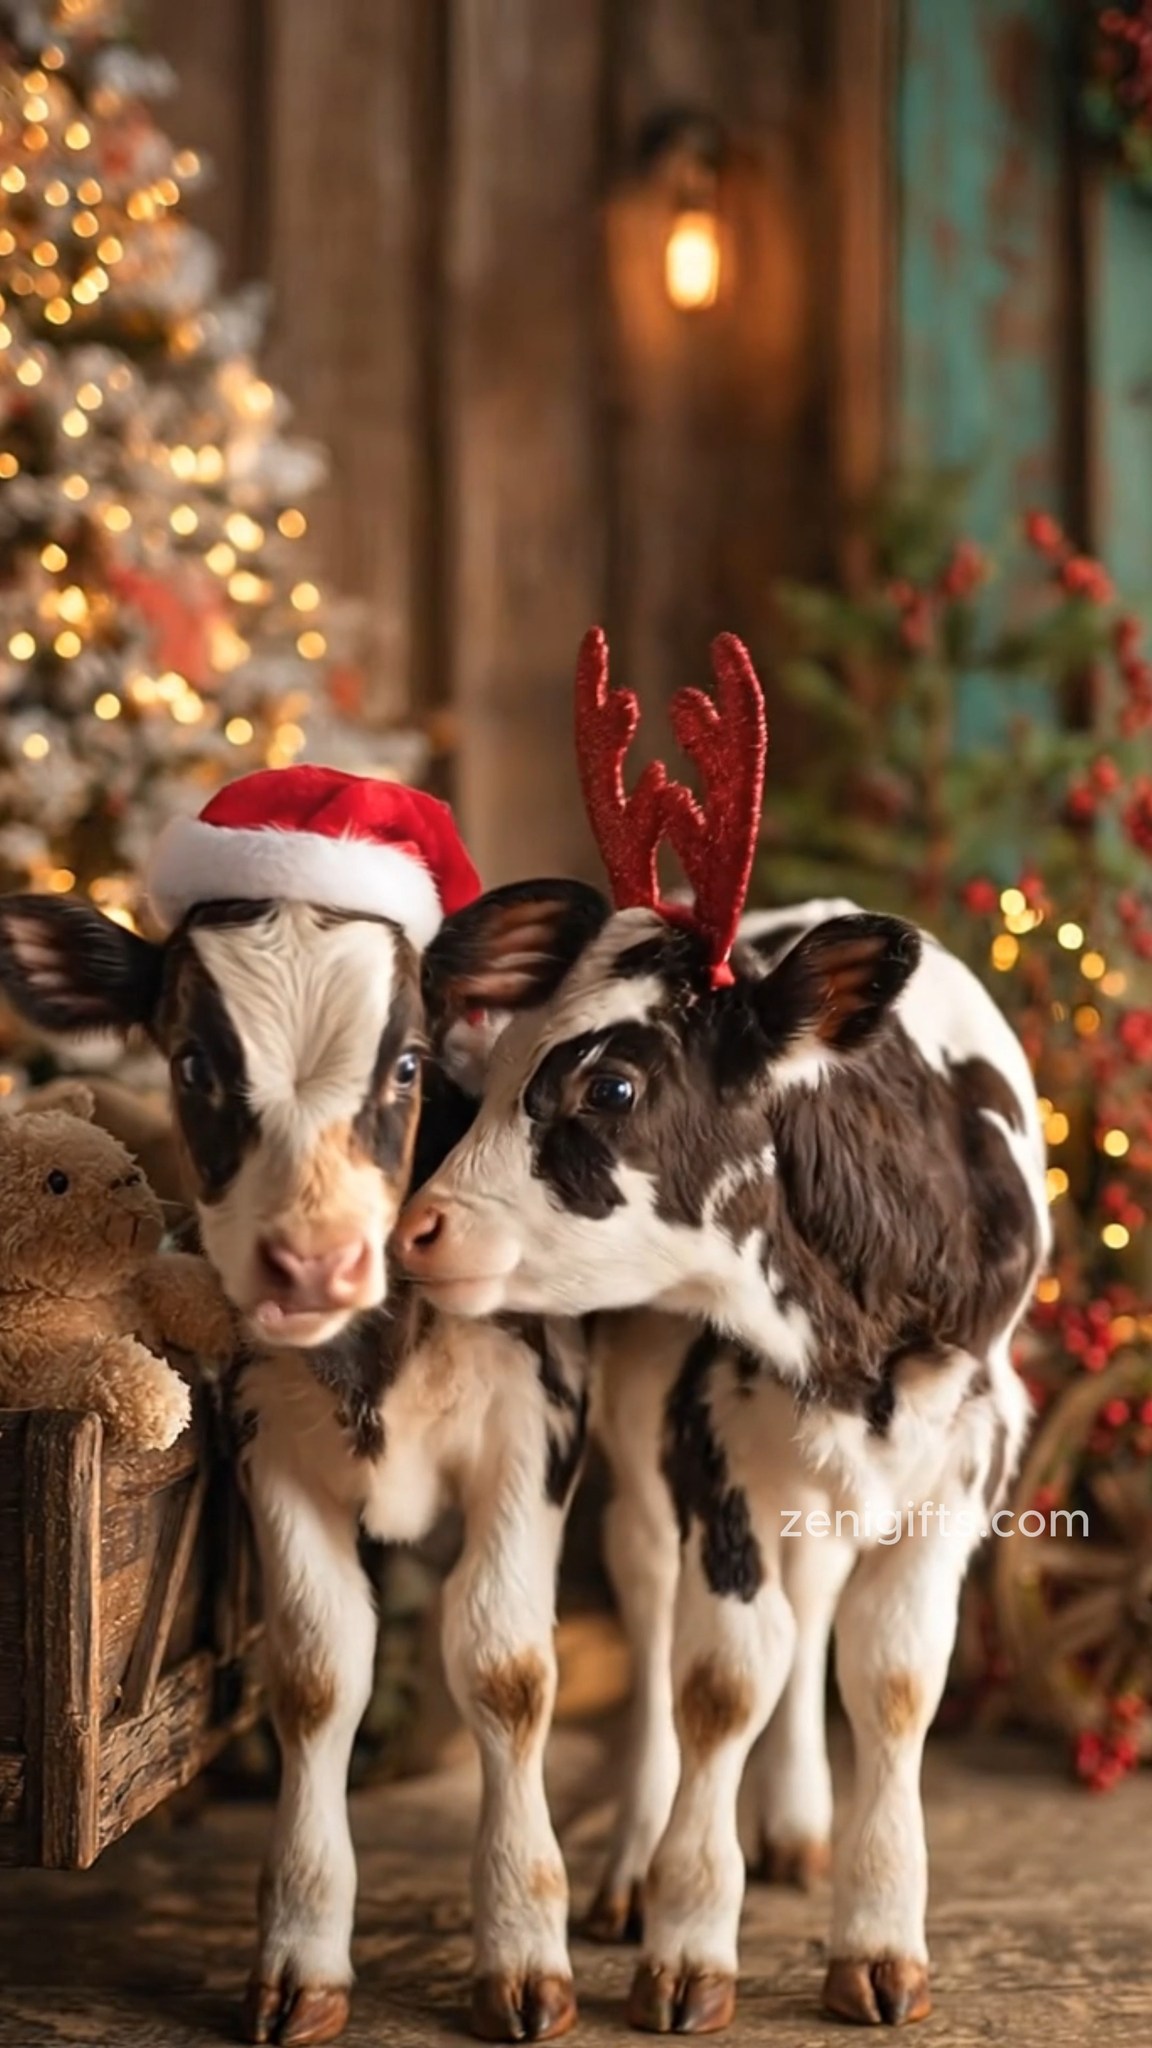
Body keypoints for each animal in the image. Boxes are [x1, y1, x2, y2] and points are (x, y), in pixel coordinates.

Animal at [394, 632, 1049, 2033]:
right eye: (506, 1059)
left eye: (613, 1081)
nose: (420, 1224)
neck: (853, 1328)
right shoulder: (709, 1423)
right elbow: (719, 1678)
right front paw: (689, 1935)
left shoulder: (975, 1438)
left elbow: (894, 1679)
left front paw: (879, 1935)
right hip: (638, 1409)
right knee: (653, 1596)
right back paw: (634, 1856)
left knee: (814, 1597)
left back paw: (797, 1820)